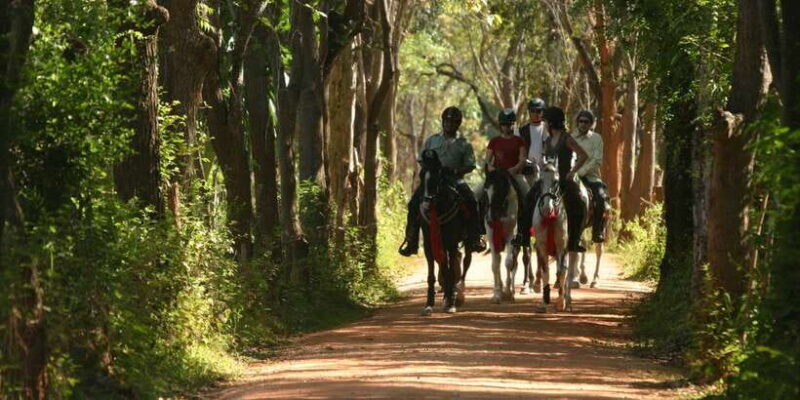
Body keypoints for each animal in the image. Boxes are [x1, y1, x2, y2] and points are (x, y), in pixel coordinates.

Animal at [419, 150, 466, 315]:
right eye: (421, 176)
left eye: (437, 178)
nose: (426, 203)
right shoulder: (429, 244)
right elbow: (433, 273)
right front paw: (429, 305)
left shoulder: (451, 243)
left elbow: (450, 271)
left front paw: (451, 303)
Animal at [483, 169, 522, 304]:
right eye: (485, 190)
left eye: (499, 189)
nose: (489, 218)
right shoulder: (491, 236)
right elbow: (495, 265)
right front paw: (497, 294)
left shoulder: (512, 236)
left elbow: (509, 263)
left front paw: (508, 293)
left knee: (514, 264)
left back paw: (512, 290)